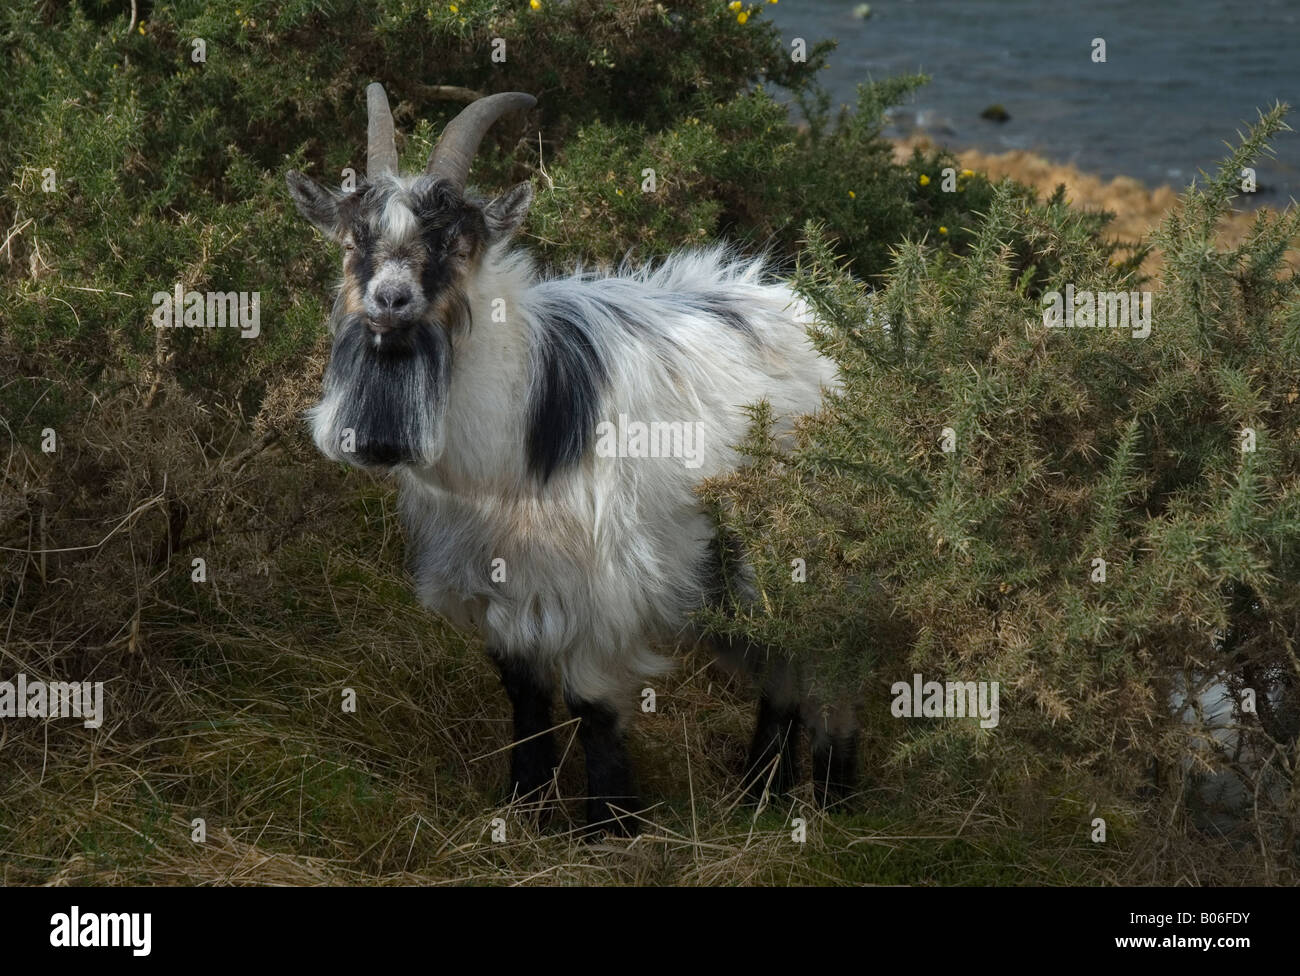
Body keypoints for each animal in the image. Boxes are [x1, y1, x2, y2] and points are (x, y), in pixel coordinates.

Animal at [285, 84, 857, 833]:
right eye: (355, 240)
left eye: (454, 241)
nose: (391, 300)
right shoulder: (498, 580)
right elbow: (524, 696)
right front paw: (524, 806)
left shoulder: (603, 589)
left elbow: (593, 707)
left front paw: (610, 825)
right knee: (782, 666)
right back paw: (760, 794)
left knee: (829, 665)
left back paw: (835, 799)